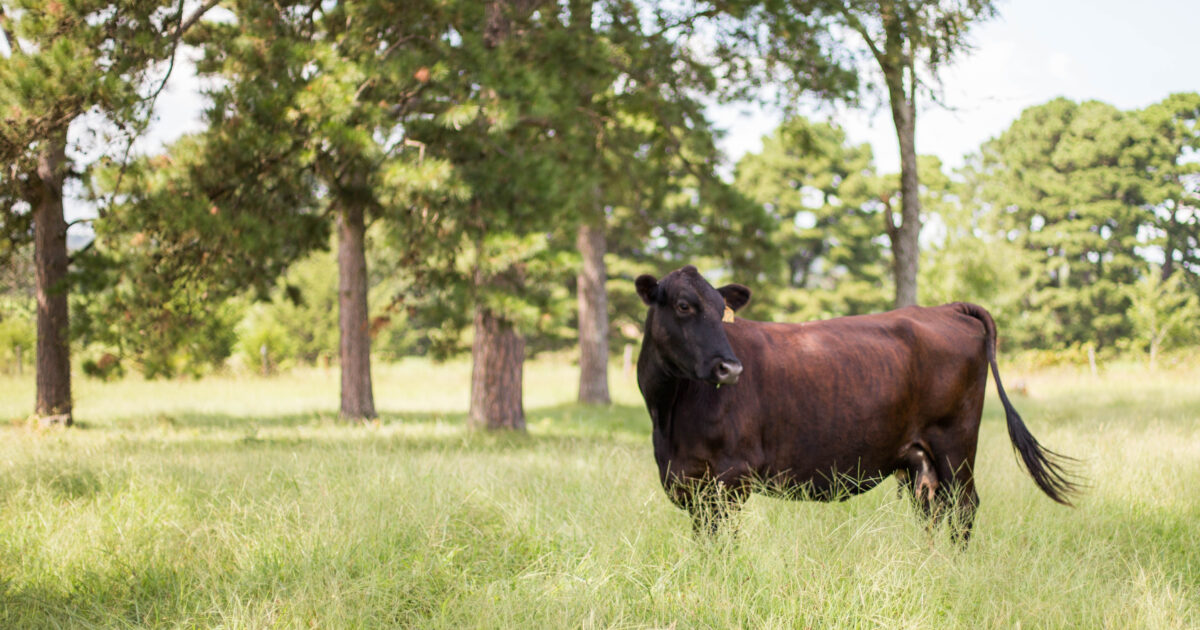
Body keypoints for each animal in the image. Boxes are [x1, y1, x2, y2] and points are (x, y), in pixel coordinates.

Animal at [635, 265, 1079, 543]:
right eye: (683, 305)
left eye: (720, 310)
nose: (730, 367)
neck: (668, 417)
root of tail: (945, 308)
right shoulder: (689, 481)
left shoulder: (730, 478)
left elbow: (720, 543)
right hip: (920, 459)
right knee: (932, 508)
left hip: (956, 442)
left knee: (964, 508)